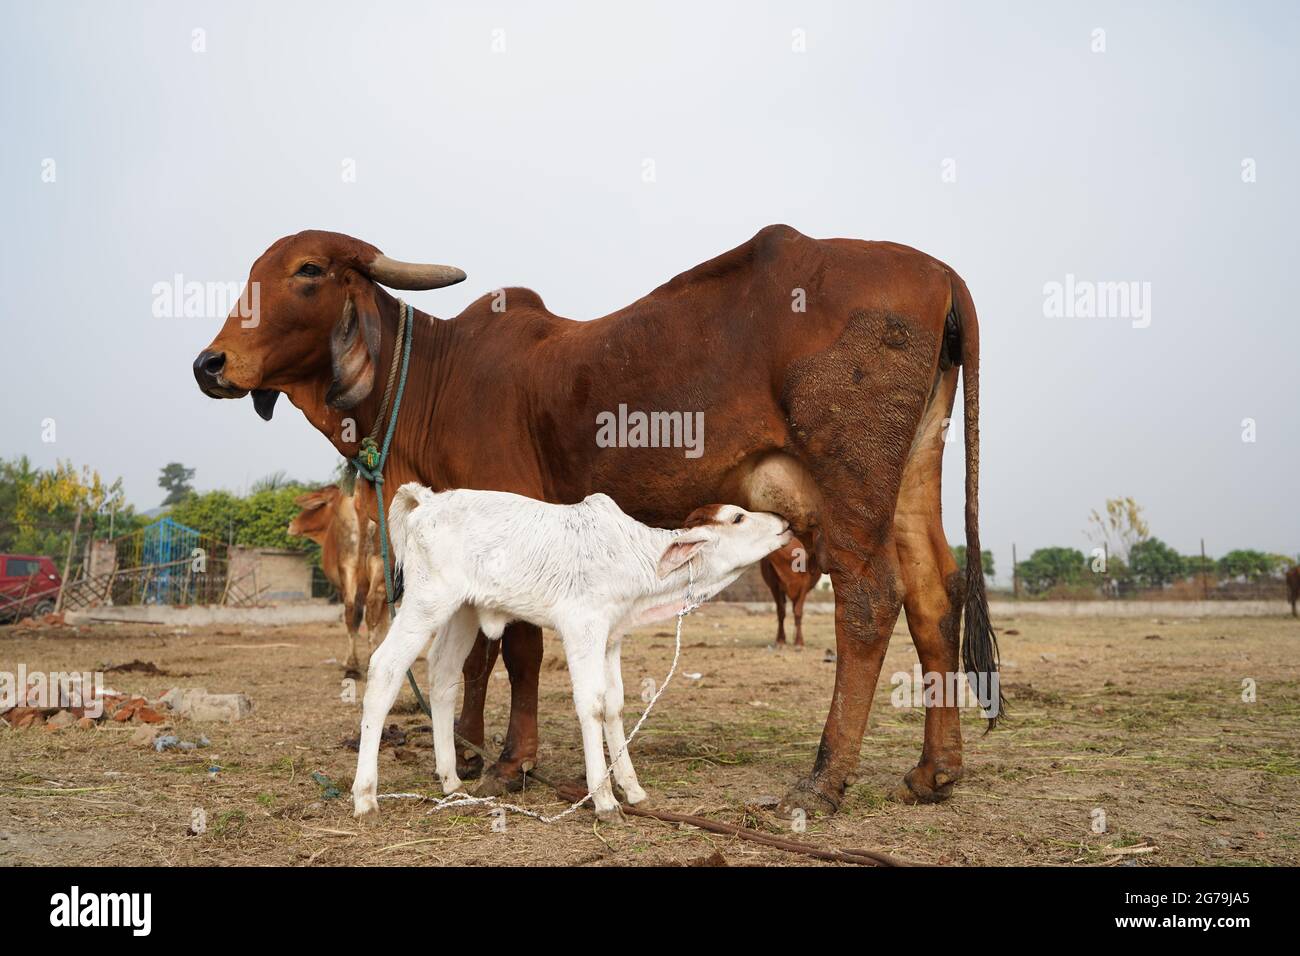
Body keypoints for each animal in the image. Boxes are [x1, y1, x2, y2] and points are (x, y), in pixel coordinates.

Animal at [287, 485, 389, 678]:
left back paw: (353, 664)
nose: (292, 525)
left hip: (352, 568)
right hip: (370, 566)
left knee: (353, 612)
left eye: (315, 507)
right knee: (364, 610)